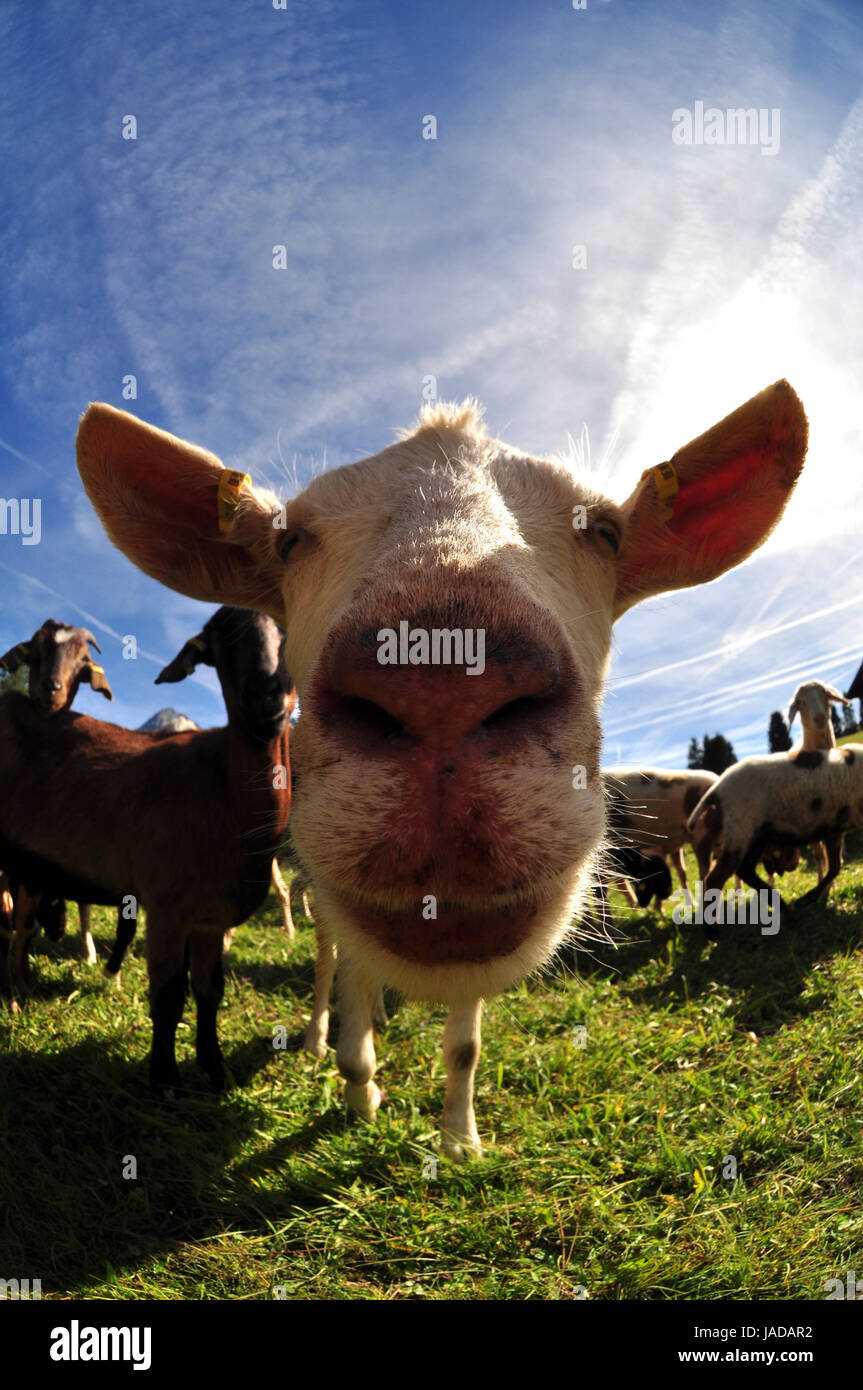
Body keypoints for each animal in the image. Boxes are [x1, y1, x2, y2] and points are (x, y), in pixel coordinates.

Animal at [0, 607, 293, 1084]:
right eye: (218, 642)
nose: (267, 696)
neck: (222, 789)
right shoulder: (167, 904)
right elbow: (169, 996)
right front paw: (163, 1078)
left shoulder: (209, 918)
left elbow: (209, 991)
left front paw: (214, 1070)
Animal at [76, 379, 808, 1157]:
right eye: (289, 541)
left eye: (606, 532)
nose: (440, 683)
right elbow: (349, 996)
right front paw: (360, 1091)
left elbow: (463, 1046)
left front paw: (459, 1138)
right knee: (329, 955)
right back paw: (320, 1033)